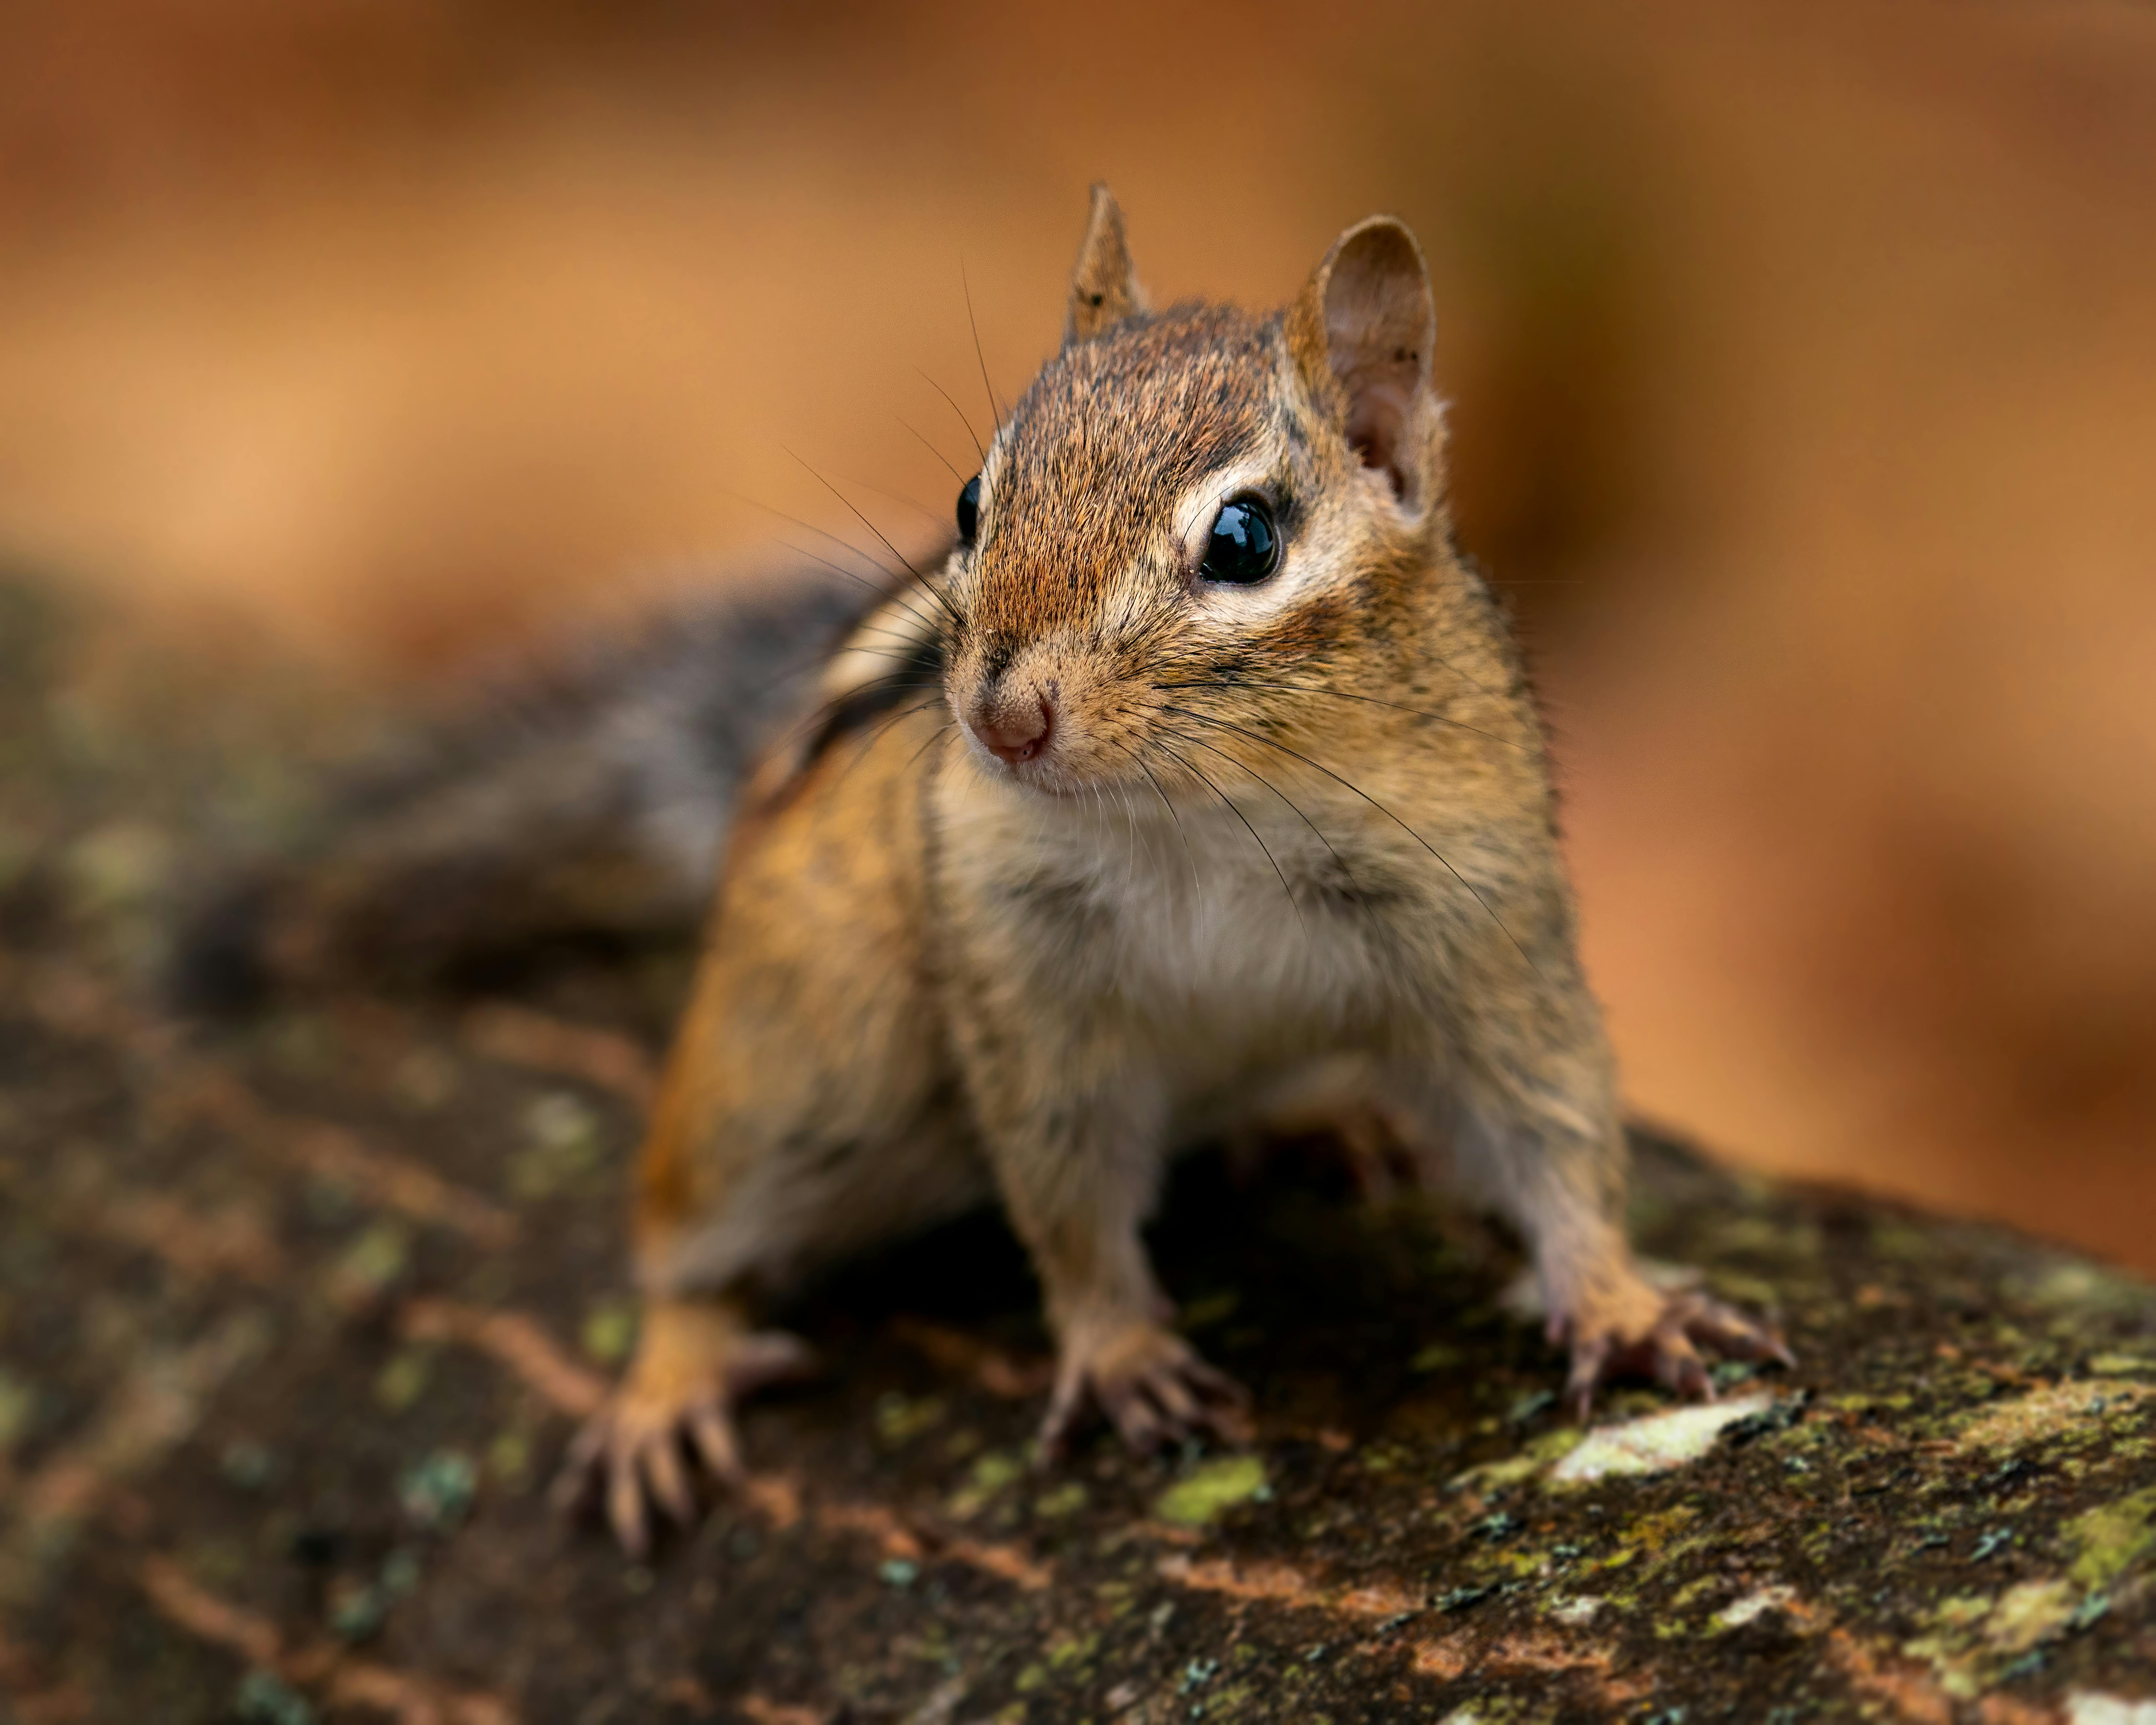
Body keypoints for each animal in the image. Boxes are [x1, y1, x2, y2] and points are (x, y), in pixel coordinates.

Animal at [173, 186, 1789, 1558]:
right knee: (687, 1236)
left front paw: (1622, 1301)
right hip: (807, 1062)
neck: (1208, 811)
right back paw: (668, 1380)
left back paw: (1310, 1119)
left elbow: (1550, 1123)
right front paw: (1119, 1345)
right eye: (968, 501)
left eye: (1245, 539)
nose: (1000, 718)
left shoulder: (1479, 924)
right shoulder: (1025, 985)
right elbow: (1064, 1183)